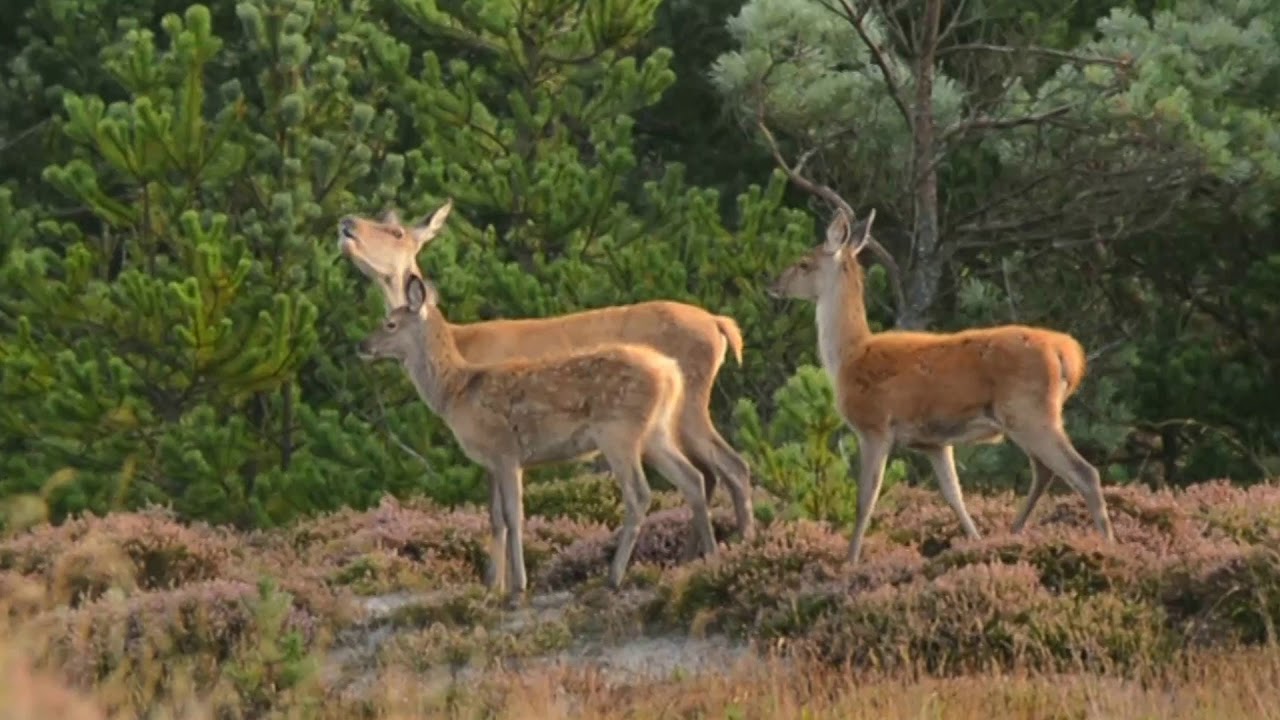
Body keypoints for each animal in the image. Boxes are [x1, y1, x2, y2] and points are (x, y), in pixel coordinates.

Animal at [337, 200, 756, 552]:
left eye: (396, 232)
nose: (347, 222)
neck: (457, 346)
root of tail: (720, 325)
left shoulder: (497, 438)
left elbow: (499, 518)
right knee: (711, 472)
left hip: (688, 403)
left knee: (730, 466)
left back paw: (737, 543)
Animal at [357, 273, 719, 601]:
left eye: (390, 323)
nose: (363, 347)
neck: (455, 392)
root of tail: (670, 372)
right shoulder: (496, 461)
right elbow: (498, 518)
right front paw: (495, 586)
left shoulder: (505, 450)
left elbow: (514, 515)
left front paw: (518, 587)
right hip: (655, 432)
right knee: (693, 478)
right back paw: (708, 558)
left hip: (619, 431)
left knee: (640, 495)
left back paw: (613, 578)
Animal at [760, 131, 1115, 565]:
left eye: (803, 263)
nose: (772, 284)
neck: (847, 355)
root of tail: (1069, 355)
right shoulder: (934, 442)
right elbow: (953, 497)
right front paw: (975, 543)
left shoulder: (874, 425)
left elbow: (865, 500)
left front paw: (849, 561)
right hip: (1028, 415)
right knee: (1045, 472)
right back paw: (1013, 535)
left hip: (1029, 411)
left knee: (1084, 473)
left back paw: (1106, 546)